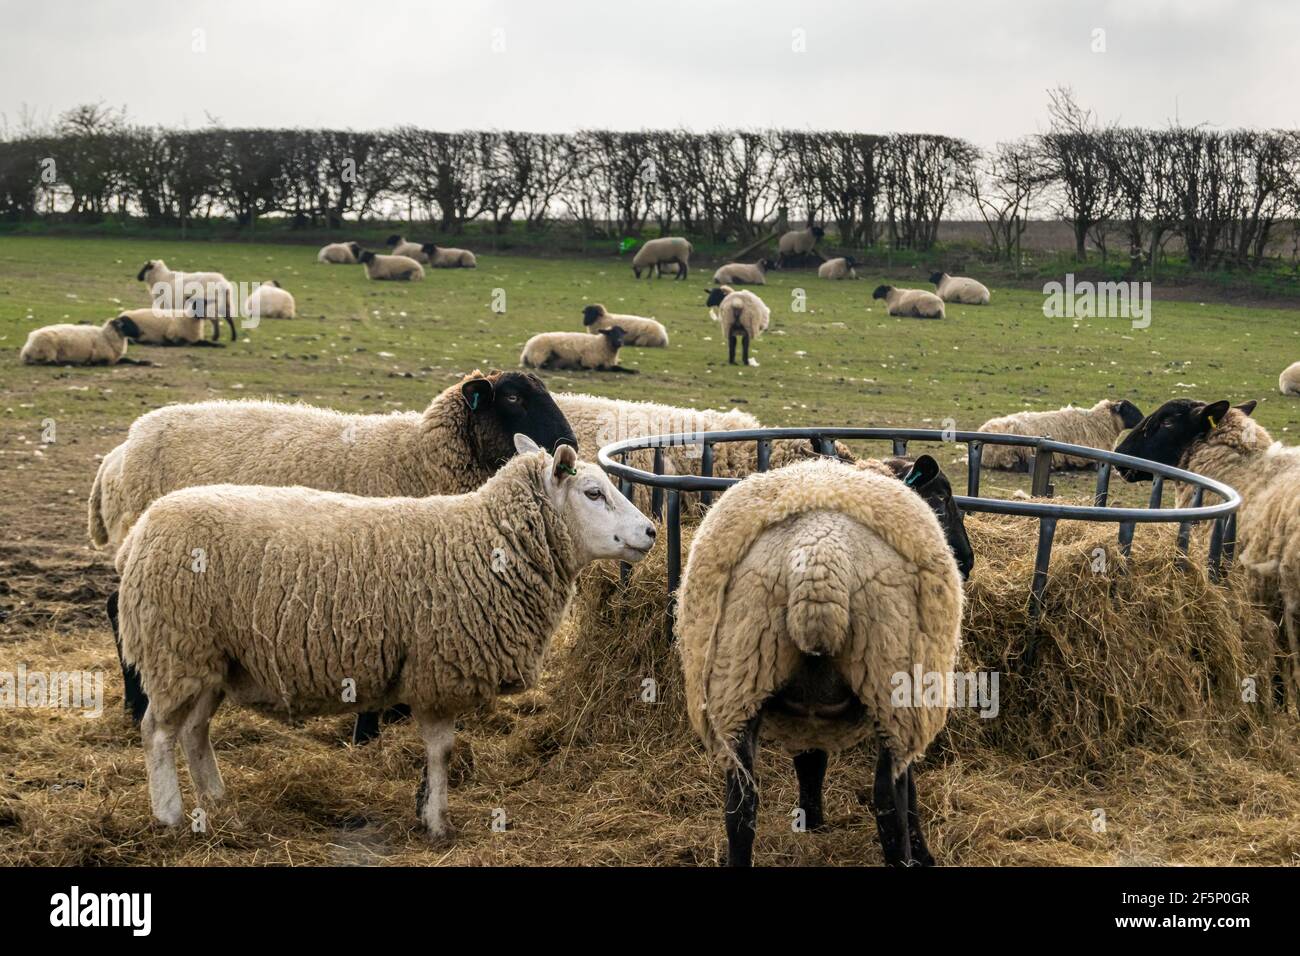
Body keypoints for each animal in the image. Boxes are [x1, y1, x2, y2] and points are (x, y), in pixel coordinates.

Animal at [20, 316, 149, 366]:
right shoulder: (102, 358)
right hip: (48, 350)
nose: (142, 332)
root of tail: (26, 349)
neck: (106, 336)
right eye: (128, 324)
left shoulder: (115, 359)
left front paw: (145, 362)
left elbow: (128, 359)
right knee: (50, 362)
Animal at [115, 435, 656, 838]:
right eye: (593, 493)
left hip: (210, 658)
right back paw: (171, 815)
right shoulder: (439, 666)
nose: (651, 532)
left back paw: (217, 798)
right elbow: (442, 749)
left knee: (194, 731)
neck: (487, 542)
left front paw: (425, 808)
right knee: (157, 732)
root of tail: (143, 527)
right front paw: (437, 821)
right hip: (176, 648)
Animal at [675, 456, 967, 866]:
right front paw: (924, 854)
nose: (968, 560)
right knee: (888, 798)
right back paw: (907, 854)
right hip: (892, 681)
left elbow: (811, 760)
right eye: (942, 497)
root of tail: (818, 559)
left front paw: (811, 821)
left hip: (736, 677)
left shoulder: (807, 710)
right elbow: (907, 788)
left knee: (741, 806)